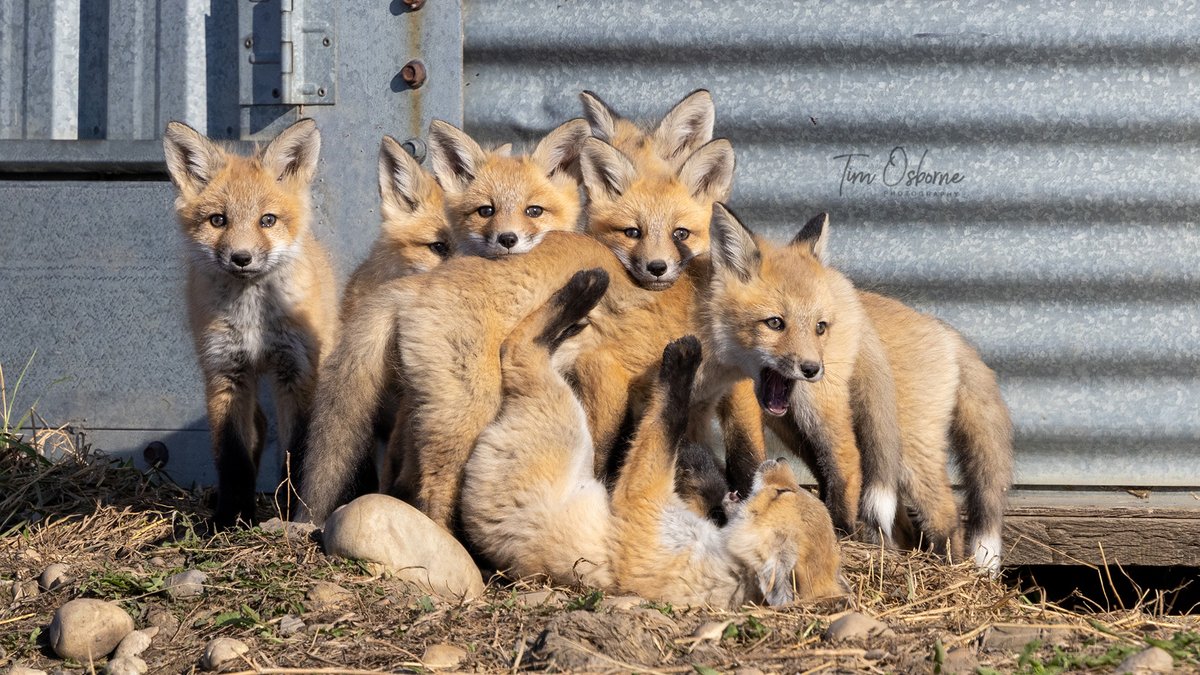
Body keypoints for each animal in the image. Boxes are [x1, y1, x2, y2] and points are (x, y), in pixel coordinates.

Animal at [162, 118, 338, 528]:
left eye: (267, 220)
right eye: (218, 220)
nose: (241, 258)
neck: (253, 318)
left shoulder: (296, 372)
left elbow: (296, 451)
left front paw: (293, 512)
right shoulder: (226, 373)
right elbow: (232, 456)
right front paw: (230, 518)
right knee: (257, 428)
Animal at [610, 336, 846, 608]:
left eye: (781, 493)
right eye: (788, 489)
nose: (780, 459)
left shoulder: (642, 497)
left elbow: (668, 418)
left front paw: (683, 356)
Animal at [702, 203, 1014, 570]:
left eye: (819, 327)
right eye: (775, 323)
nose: (812, 368)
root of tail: (946, 331)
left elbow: (741, 454)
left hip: (889, 440)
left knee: (934, 508)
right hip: (800, 427)